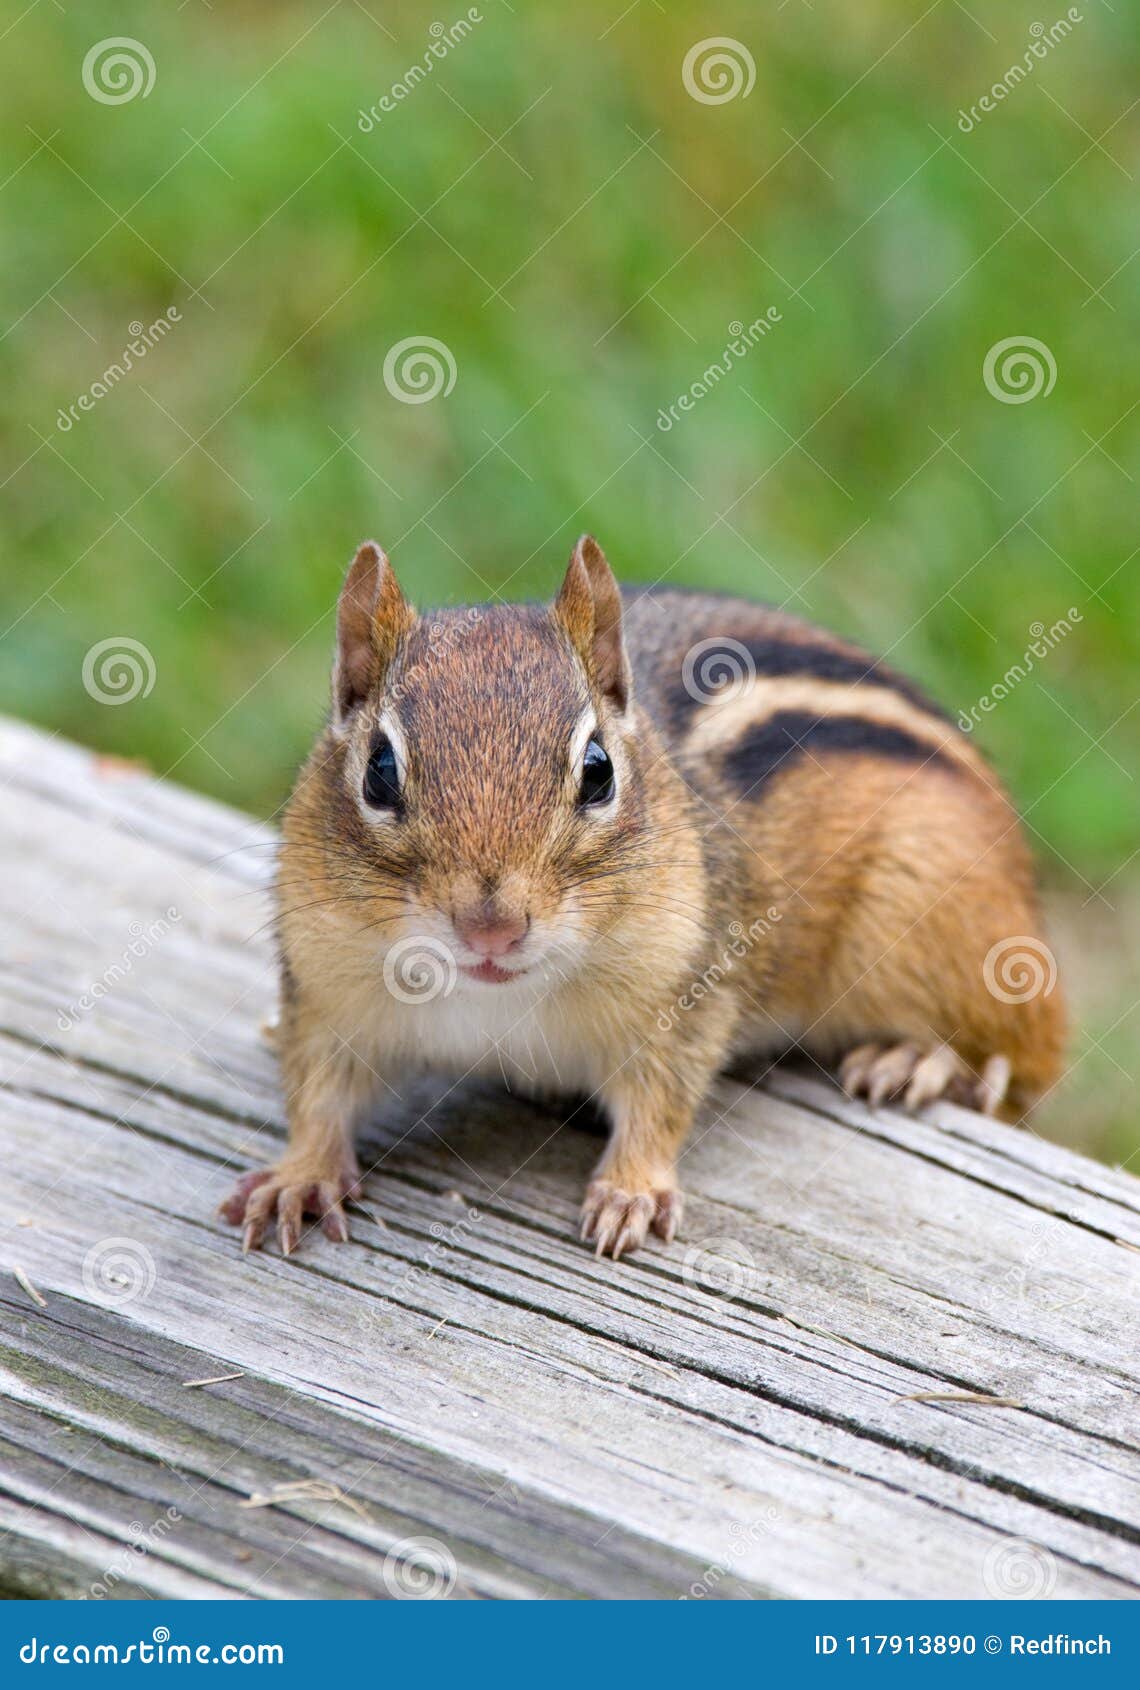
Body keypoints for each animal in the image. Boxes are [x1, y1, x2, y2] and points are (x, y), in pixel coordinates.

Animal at [221, 535, 1066, 1261]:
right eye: (379, 772)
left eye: (597, 771)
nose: (491, 927)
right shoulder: (325, 989)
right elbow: (318, 1093)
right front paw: (299, 1175)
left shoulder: (688, 987)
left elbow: (662, 1101)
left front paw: (630, 1191)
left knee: (1017, 1058)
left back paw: (918, 1059)